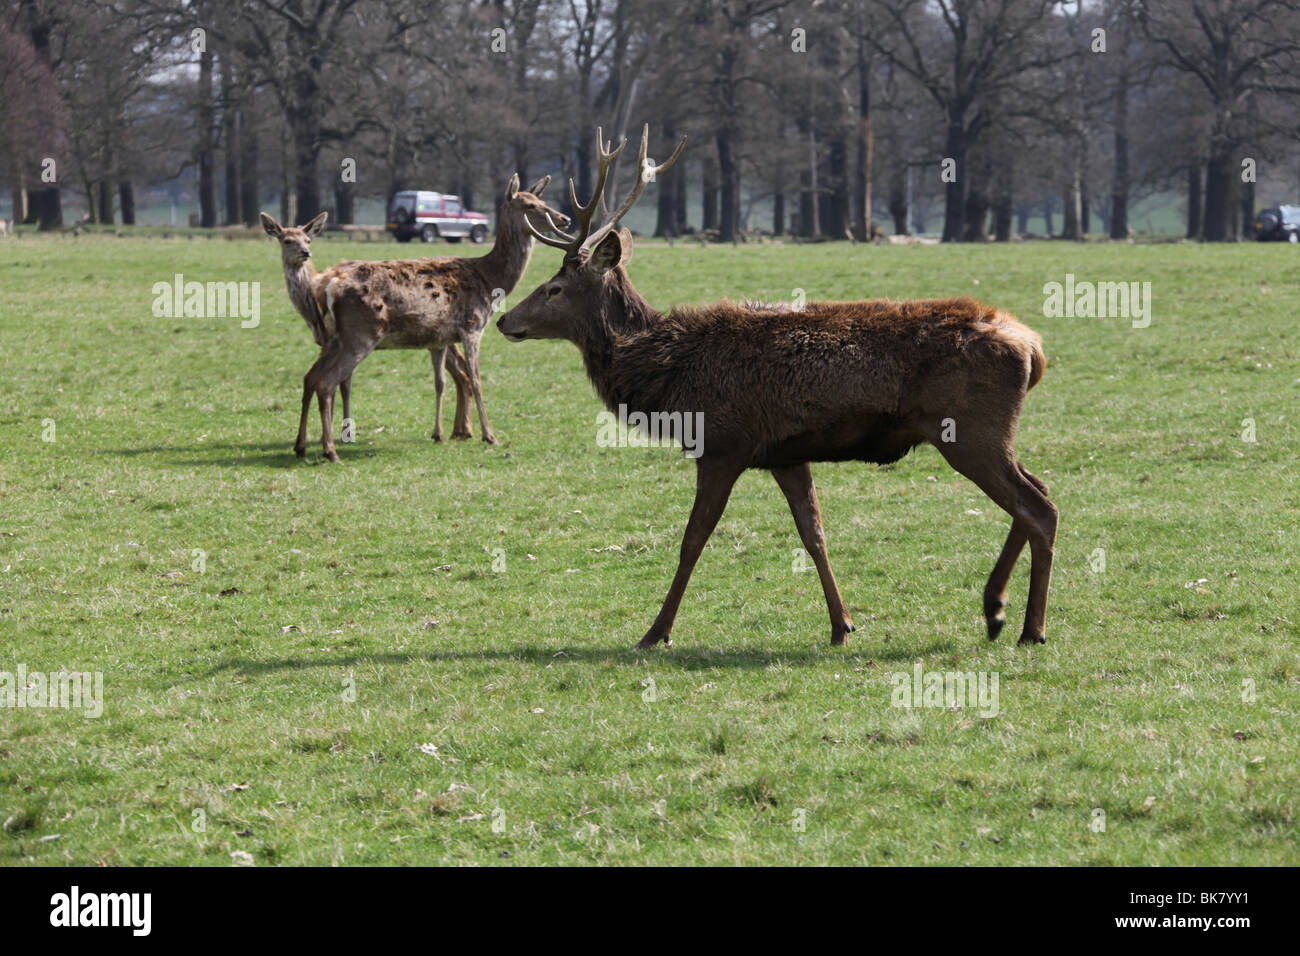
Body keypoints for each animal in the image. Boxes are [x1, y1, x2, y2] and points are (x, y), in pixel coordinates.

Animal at [261, 174, 570, 461]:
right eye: (529, 205)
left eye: (541, 200)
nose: (564, 218)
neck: (490, 280)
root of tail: (329, 287)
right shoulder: (472, 327)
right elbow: (478, 379)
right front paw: (490, 435)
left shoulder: (440, 338)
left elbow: (441, 382)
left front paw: (439, 434)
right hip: (360, 334)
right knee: (327, 382)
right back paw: (330, 450)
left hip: (334, 339)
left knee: (311, 377)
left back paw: (301, 446)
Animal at [497, 126, 1058, 649]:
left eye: (554, 288)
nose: (504, 320)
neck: (668, 376)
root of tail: (1033, 348)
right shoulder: (786, 454)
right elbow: (814, 534)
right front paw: (842, 624)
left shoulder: (723, 443)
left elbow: (692, 539)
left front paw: (656, 631)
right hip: (988, 434)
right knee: (1039, 491)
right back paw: (995, 609)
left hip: (968, 430)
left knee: (1039, 507)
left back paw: (1029, 627)